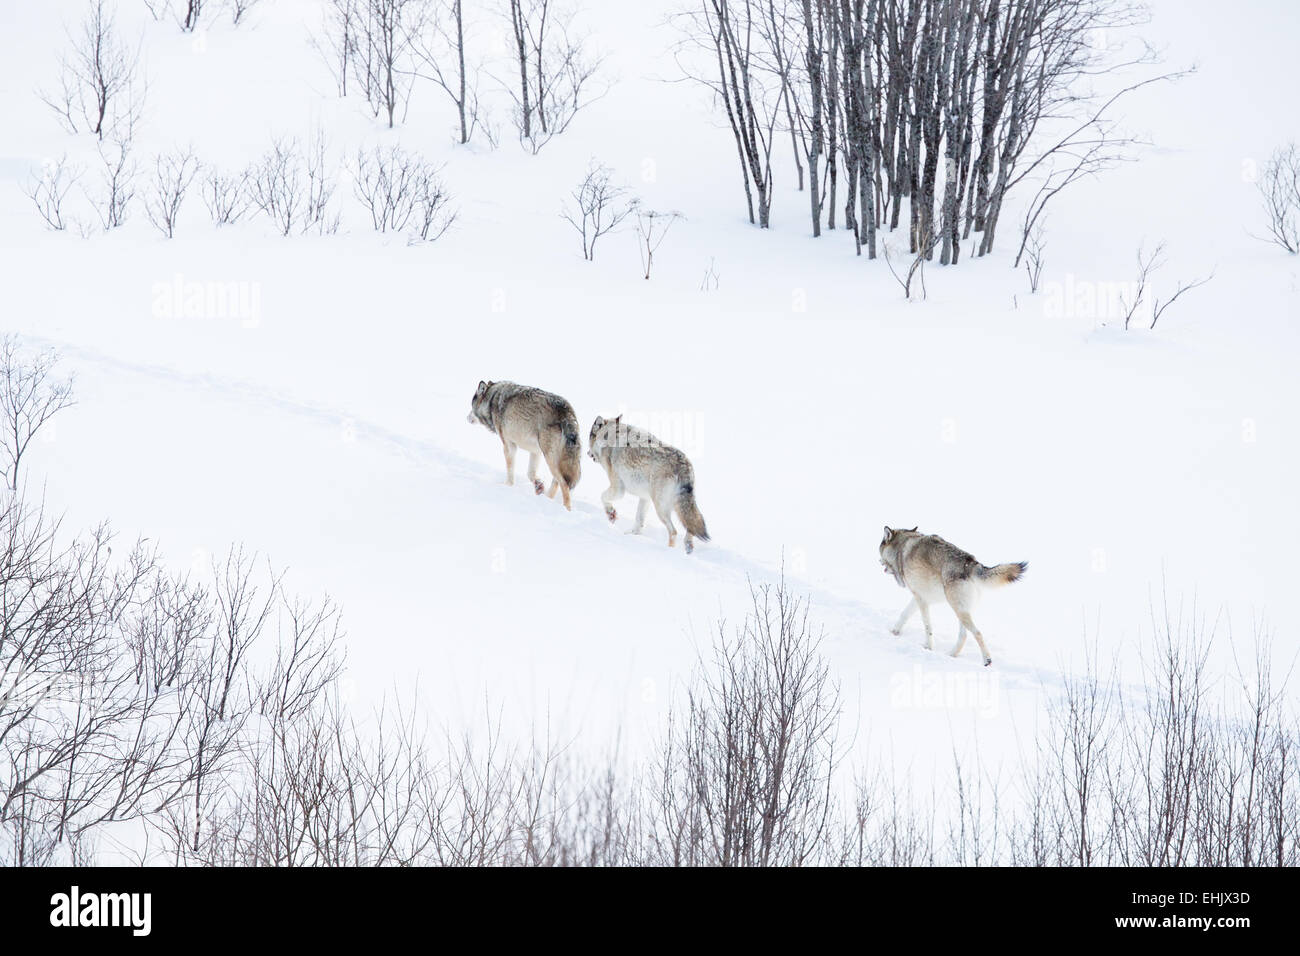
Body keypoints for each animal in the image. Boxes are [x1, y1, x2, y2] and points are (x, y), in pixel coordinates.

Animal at [467, 380, 581, 510]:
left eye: (471, 406)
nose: (467, 417)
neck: (492, 400)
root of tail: (567, 412)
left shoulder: (509, 445)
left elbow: (510, 470)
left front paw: (507, 486)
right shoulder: (535, 451)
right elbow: (530, 474)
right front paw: (539, 486)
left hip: (550, 458)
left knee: (564, 484)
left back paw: (566, 509)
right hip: (553, 458)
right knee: (557, 481)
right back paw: (547, 498)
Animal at [588, 415, 709, 553]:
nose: (587, 453)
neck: (611, 436)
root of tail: (683, 464)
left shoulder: (618, 489)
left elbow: (603, 497)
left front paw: (611, 514)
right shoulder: (644, 497)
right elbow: (639, 521)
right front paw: (631, 535)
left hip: (661, 508)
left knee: (674, 532)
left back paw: (669, 550)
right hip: (677, 506)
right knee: (690, 529)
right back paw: (688, 549)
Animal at [878, 526, 1026, 666]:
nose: (879, 560)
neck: (901, 549)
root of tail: (971, 563)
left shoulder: (921, 599)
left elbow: (927, 626)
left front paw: (928, 647)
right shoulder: (919, 596)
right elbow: (904, 614)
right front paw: (894, 632)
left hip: (958, 609)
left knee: (977, 633)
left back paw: (987, 660)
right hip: (961, 611)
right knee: (964, 635)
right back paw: (951, 654)